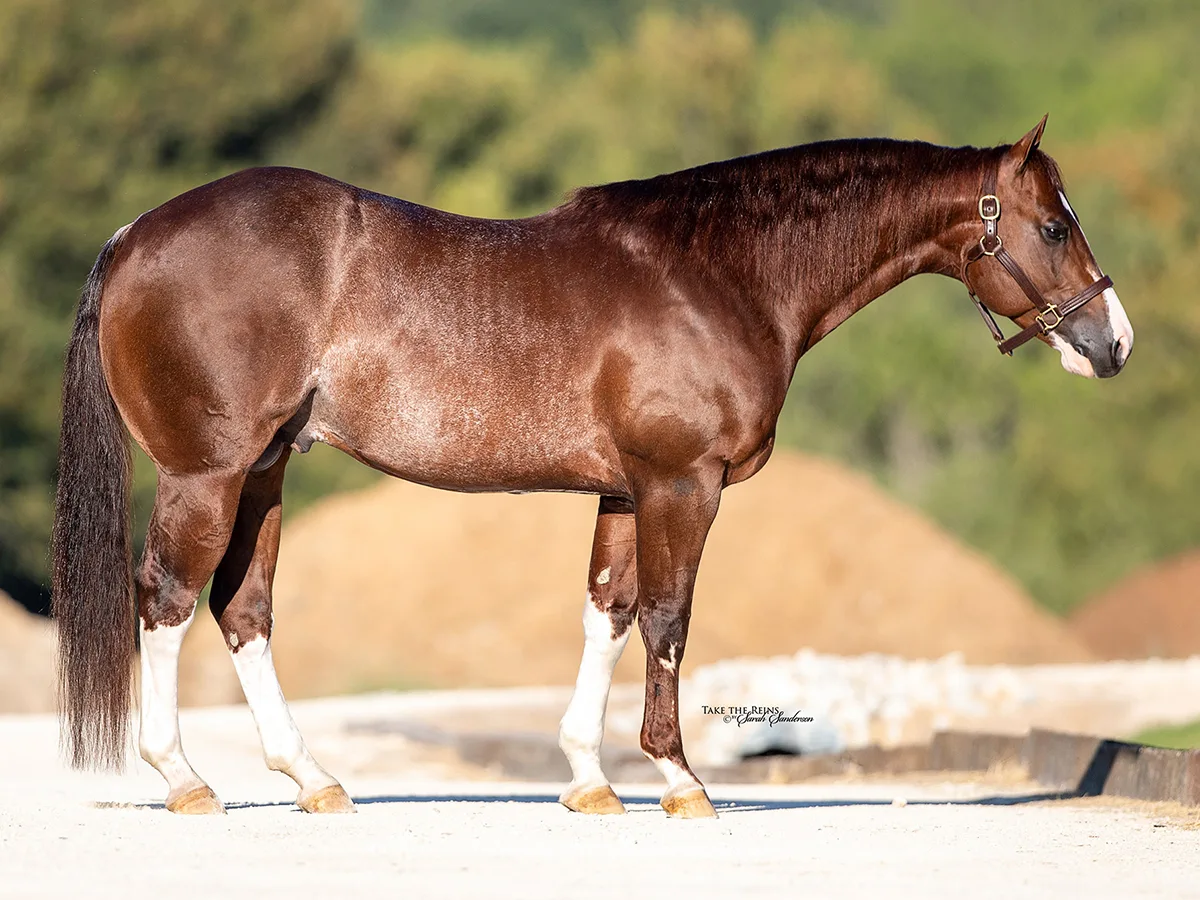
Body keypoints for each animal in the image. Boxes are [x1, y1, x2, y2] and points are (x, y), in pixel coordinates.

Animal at [52, 115, 1133, 818]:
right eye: (1053, 225)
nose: (1114, 343)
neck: (718, 273)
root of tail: (133, 234)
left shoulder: (624, 487)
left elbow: (607, 613)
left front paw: (589, 779)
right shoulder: (681, 483)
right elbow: (667, 618)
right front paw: (683, 781)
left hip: (266, 473)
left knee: (243, 610)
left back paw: (312, 779)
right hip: (209, 474)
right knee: (167, 598)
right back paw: (184, 778)